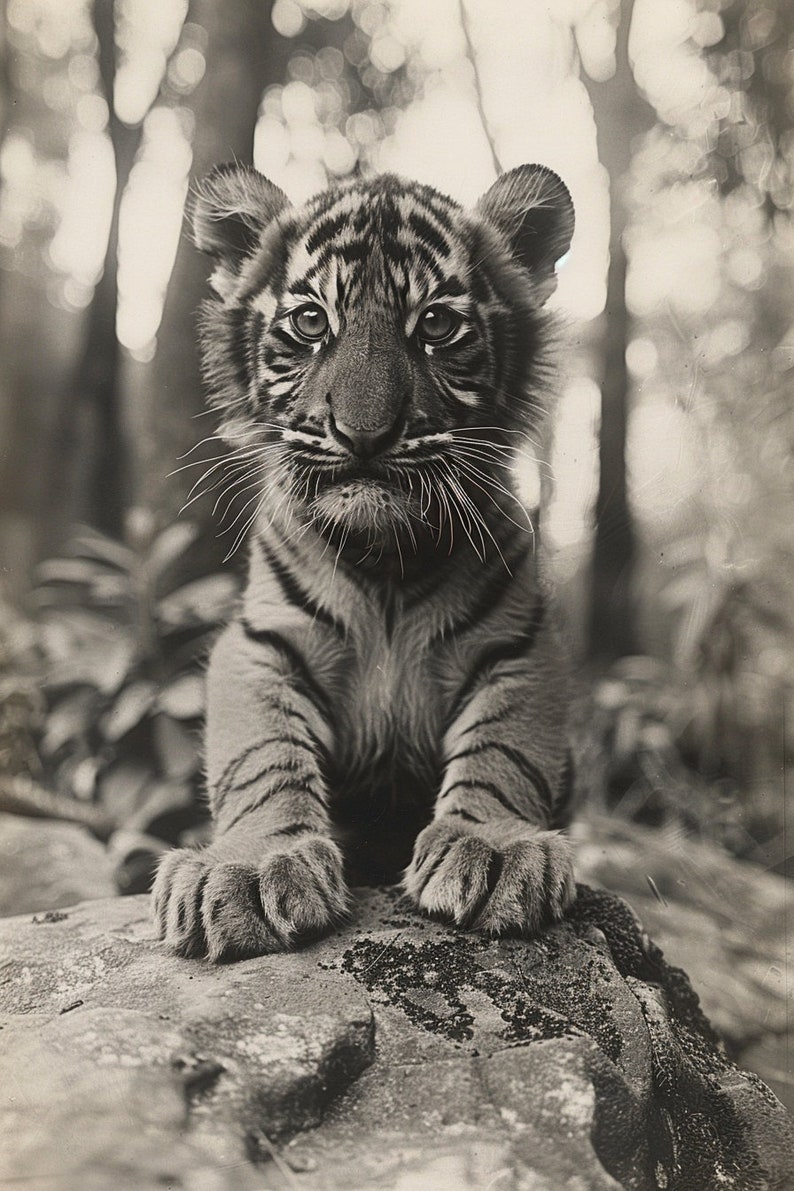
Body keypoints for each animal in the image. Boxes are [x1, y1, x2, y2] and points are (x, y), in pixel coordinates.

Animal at [152, 161, 577, 962]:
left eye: (436, 326)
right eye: (312, 322)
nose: (364, 434)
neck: (385, 561)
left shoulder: (519, 643)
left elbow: (505, 750)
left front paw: (493, 850)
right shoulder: (259, 644)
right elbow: (260, 756)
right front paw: (249, 866)